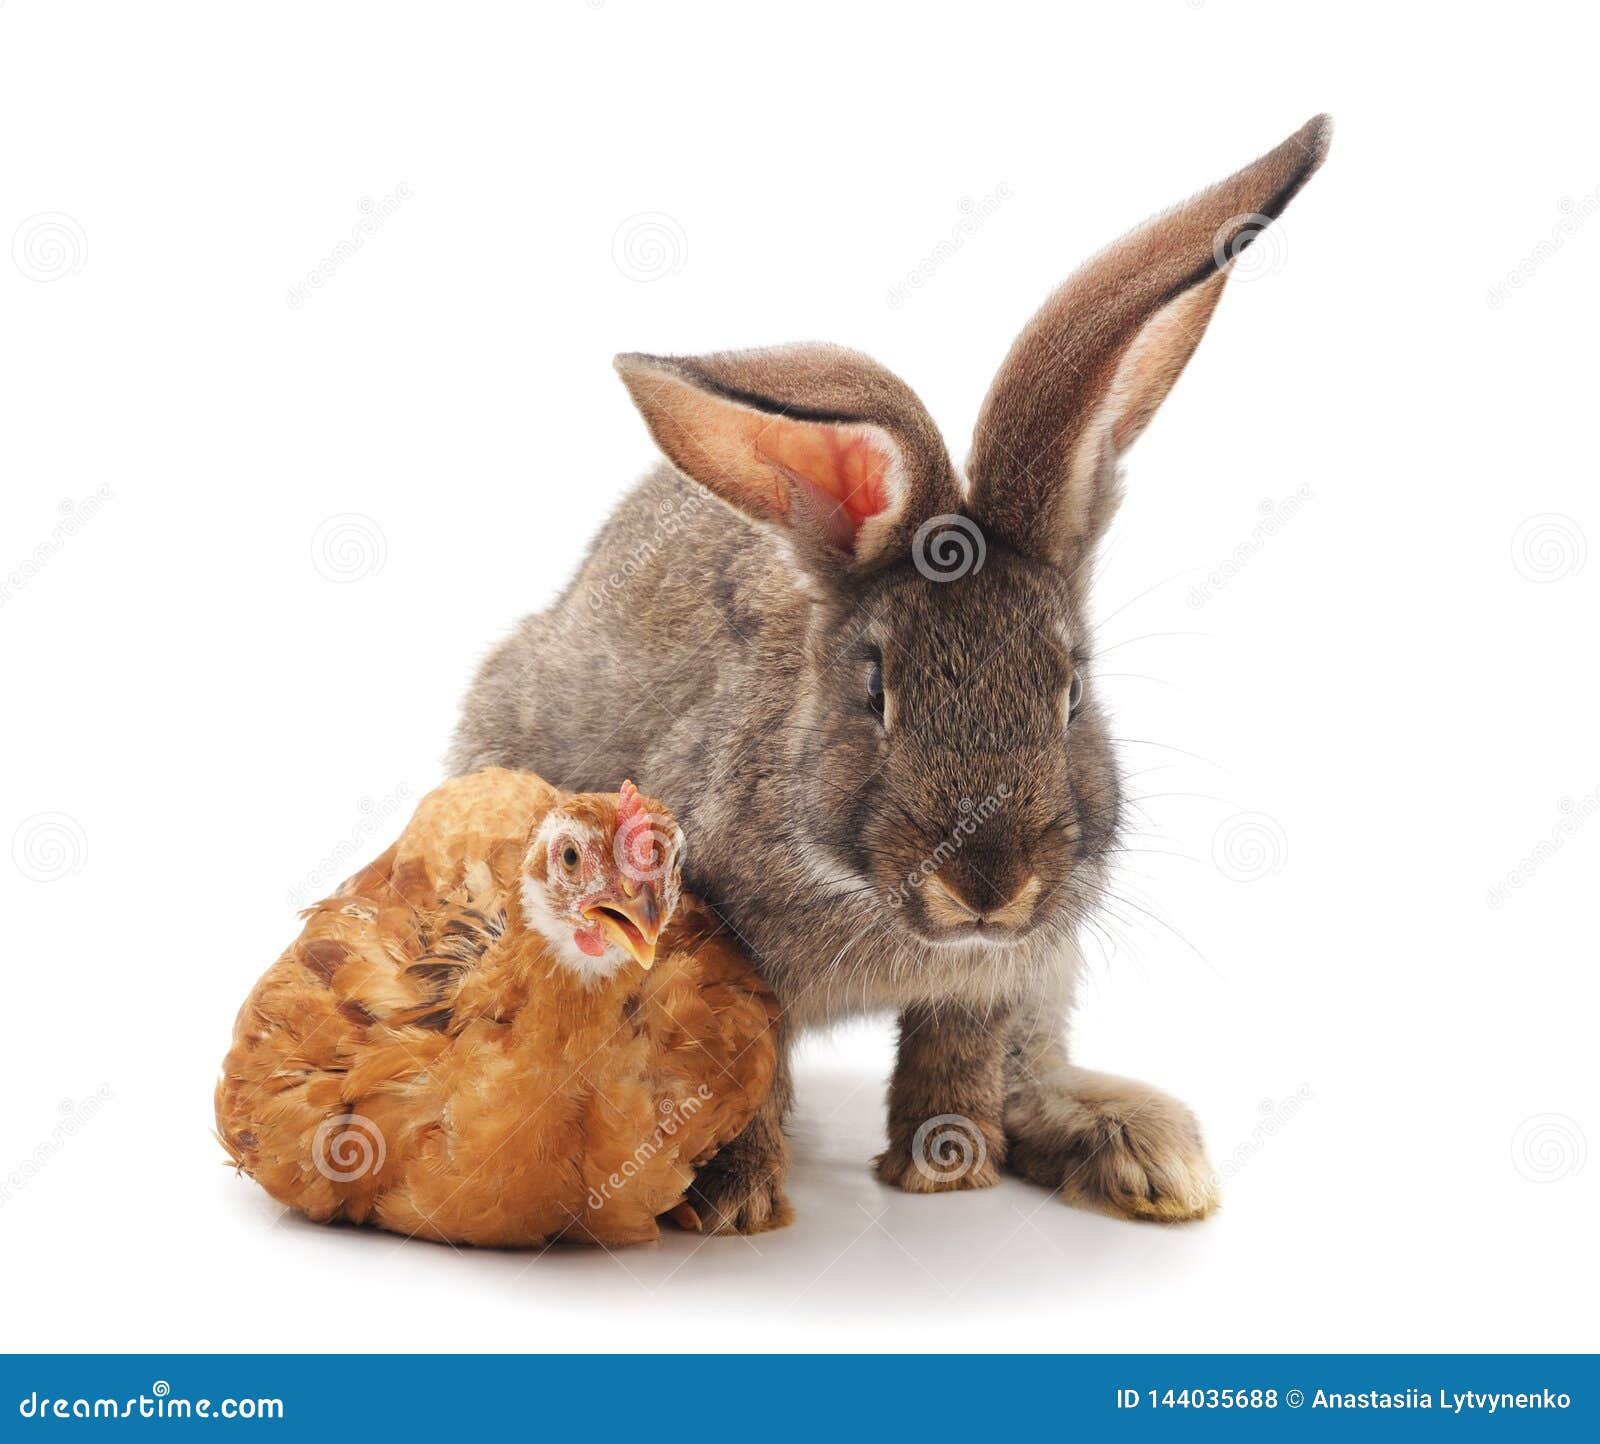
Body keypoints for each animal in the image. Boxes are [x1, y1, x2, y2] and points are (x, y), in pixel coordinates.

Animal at [450, 116, 1332, 1232]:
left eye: (1071, 692)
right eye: (875, 690)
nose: (987, 886)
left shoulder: (999, 975)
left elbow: (958, 1059)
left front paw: (945, 1173)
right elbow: (737, 1073)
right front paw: (734, 1205)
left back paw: (1135, 1151)